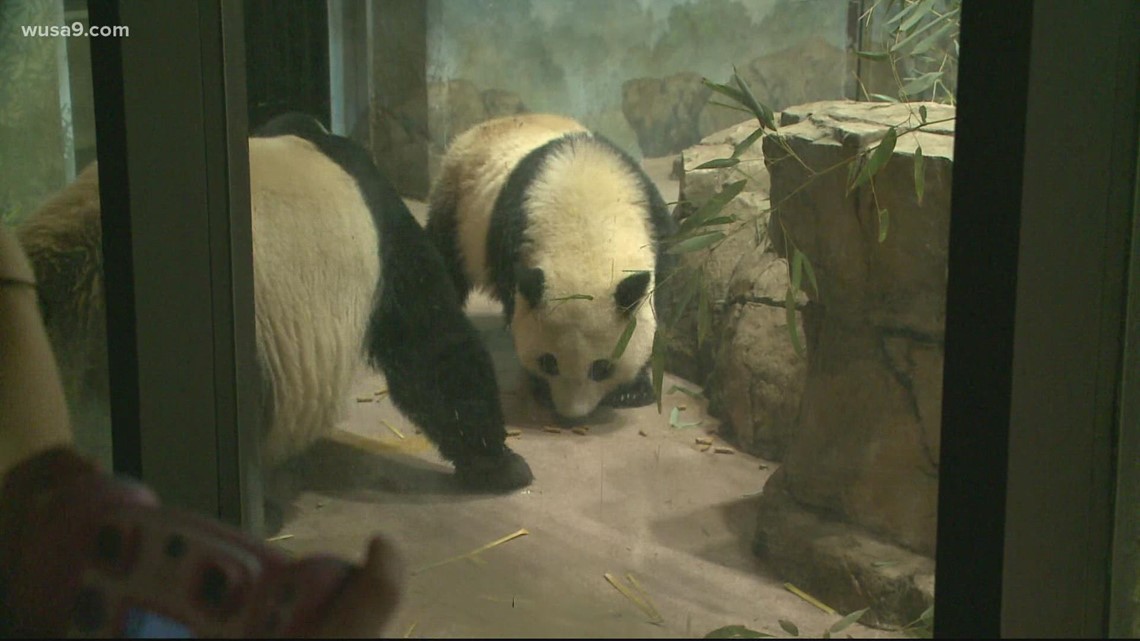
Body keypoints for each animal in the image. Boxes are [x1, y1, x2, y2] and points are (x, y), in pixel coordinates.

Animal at [425, 114, 676, 422]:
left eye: (601, 368)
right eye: (549, 362)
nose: (573, 414)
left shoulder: (655, 224)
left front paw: (632, 390)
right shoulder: (511, 239)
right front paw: (539, 387)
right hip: (457, 201)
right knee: (445, 262)